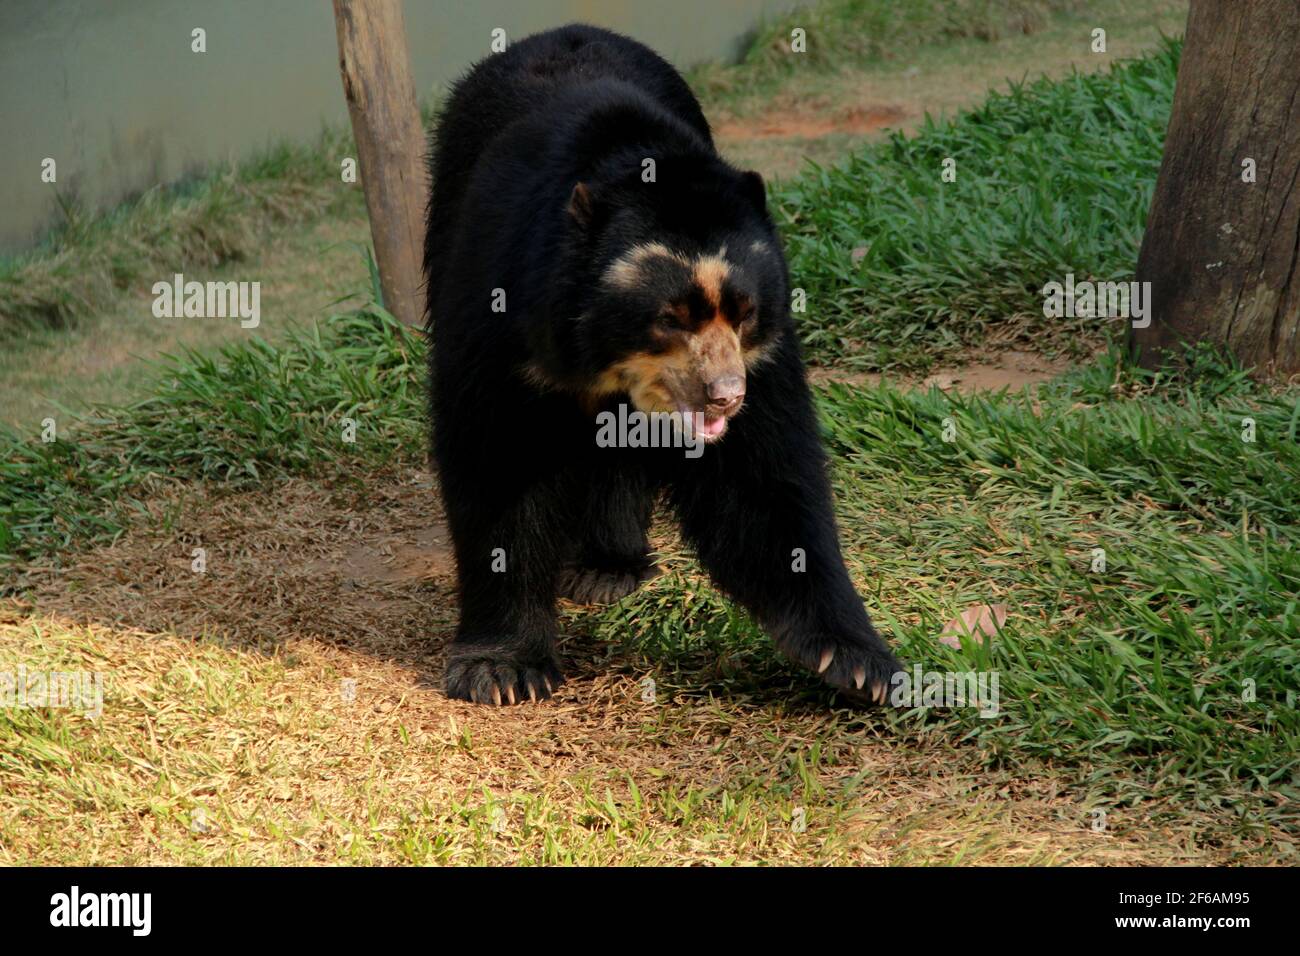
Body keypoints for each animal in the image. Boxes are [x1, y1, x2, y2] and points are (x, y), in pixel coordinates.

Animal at [424, 24, 901, 706]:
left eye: (744, 312)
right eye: (671, 317)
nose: (724, 396)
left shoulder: (763, 358)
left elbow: (763, 476)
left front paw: (861, 664)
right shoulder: (501, 314)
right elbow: (498, 461)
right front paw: (501, 671)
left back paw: (608, 567)